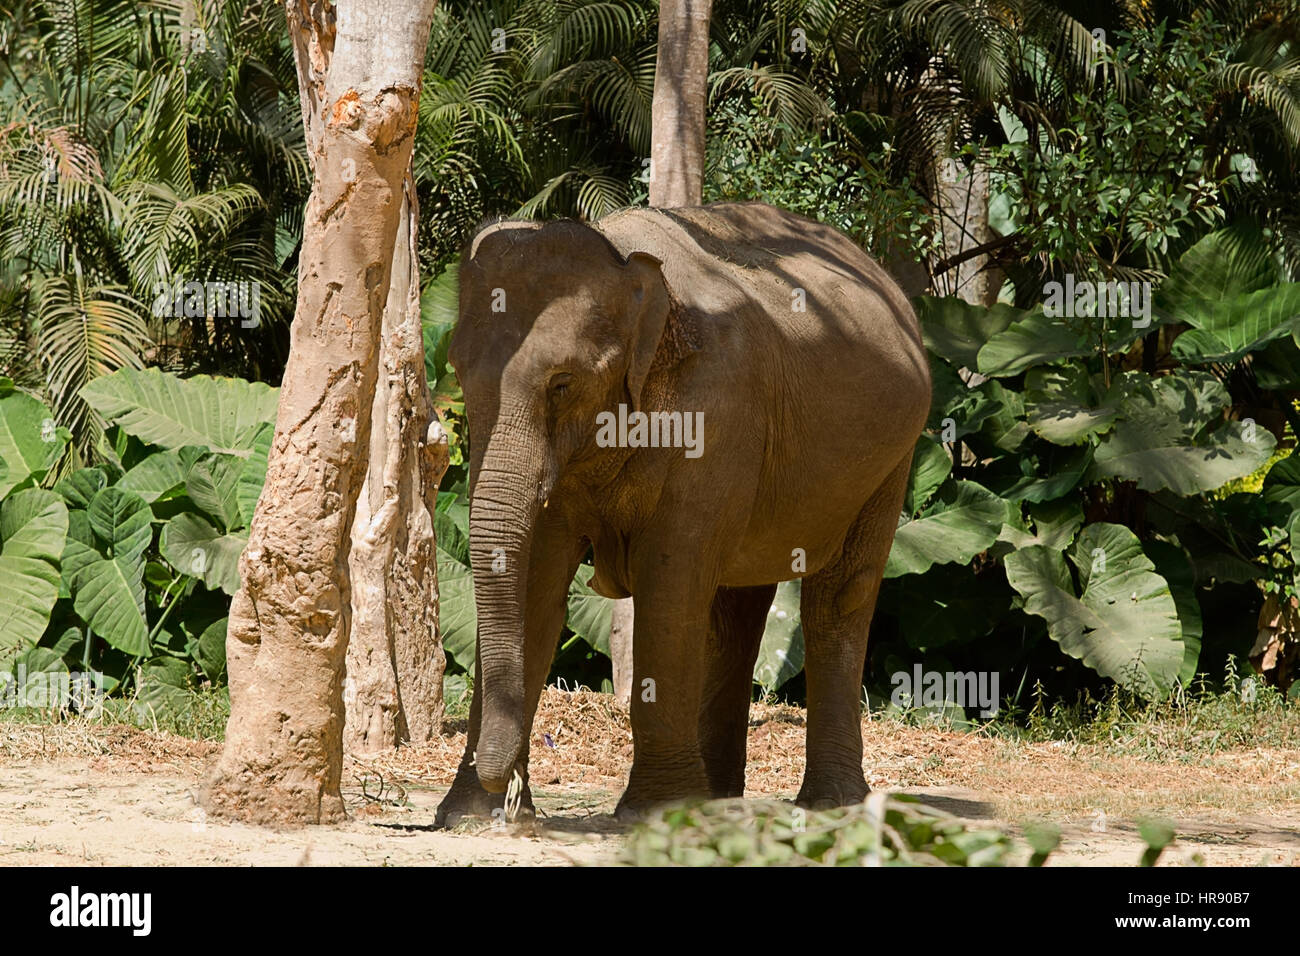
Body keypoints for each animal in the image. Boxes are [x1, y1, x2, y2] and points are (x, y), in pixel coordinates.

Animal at [434, 201, 930, 826]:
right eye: (457, 374)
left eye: (563, 384)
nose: (514, 795)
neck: (623, 261)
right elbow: (537, 581)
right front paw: (467, 815)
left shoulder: (715, 417)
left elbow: (670, 583)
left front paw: (654, 811)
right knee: (734, 609)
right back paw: (717, 798)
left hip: (893, 459)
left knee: (839, 596)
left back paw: (829, 803)